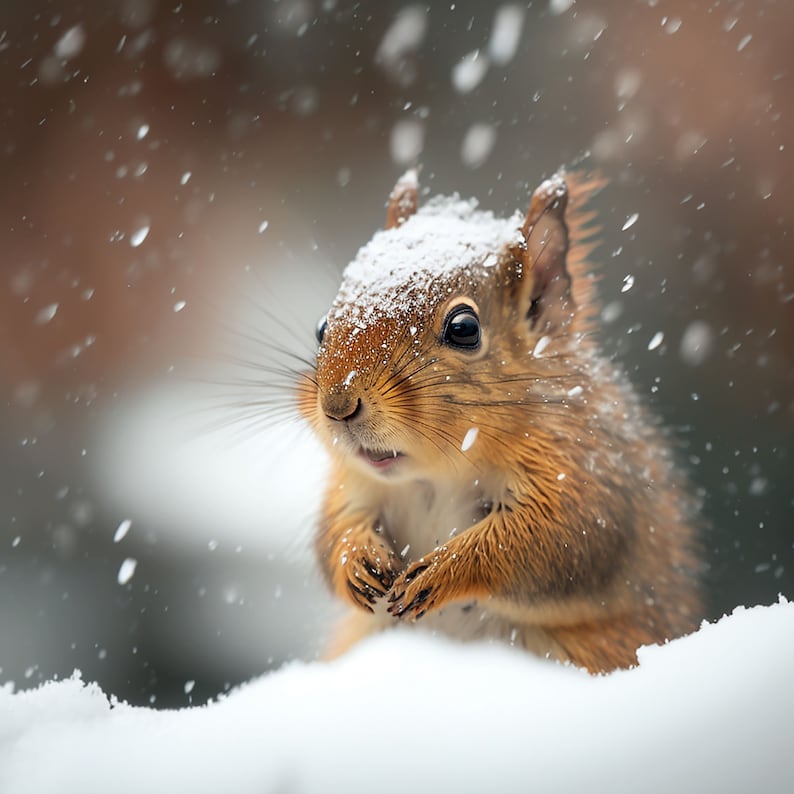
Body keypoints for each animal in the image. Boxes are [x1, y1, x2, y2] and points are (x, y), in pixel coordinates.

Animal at [298, 168, 703, 673]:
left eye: (464, 329)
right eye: (321, 326)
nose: (337, 407)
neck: (435, 477)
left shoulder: (588, 470)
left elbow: (555, 540)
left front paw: (444, 571)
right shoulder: (354, 483)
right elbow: (332, 529)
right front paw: (355, 560)